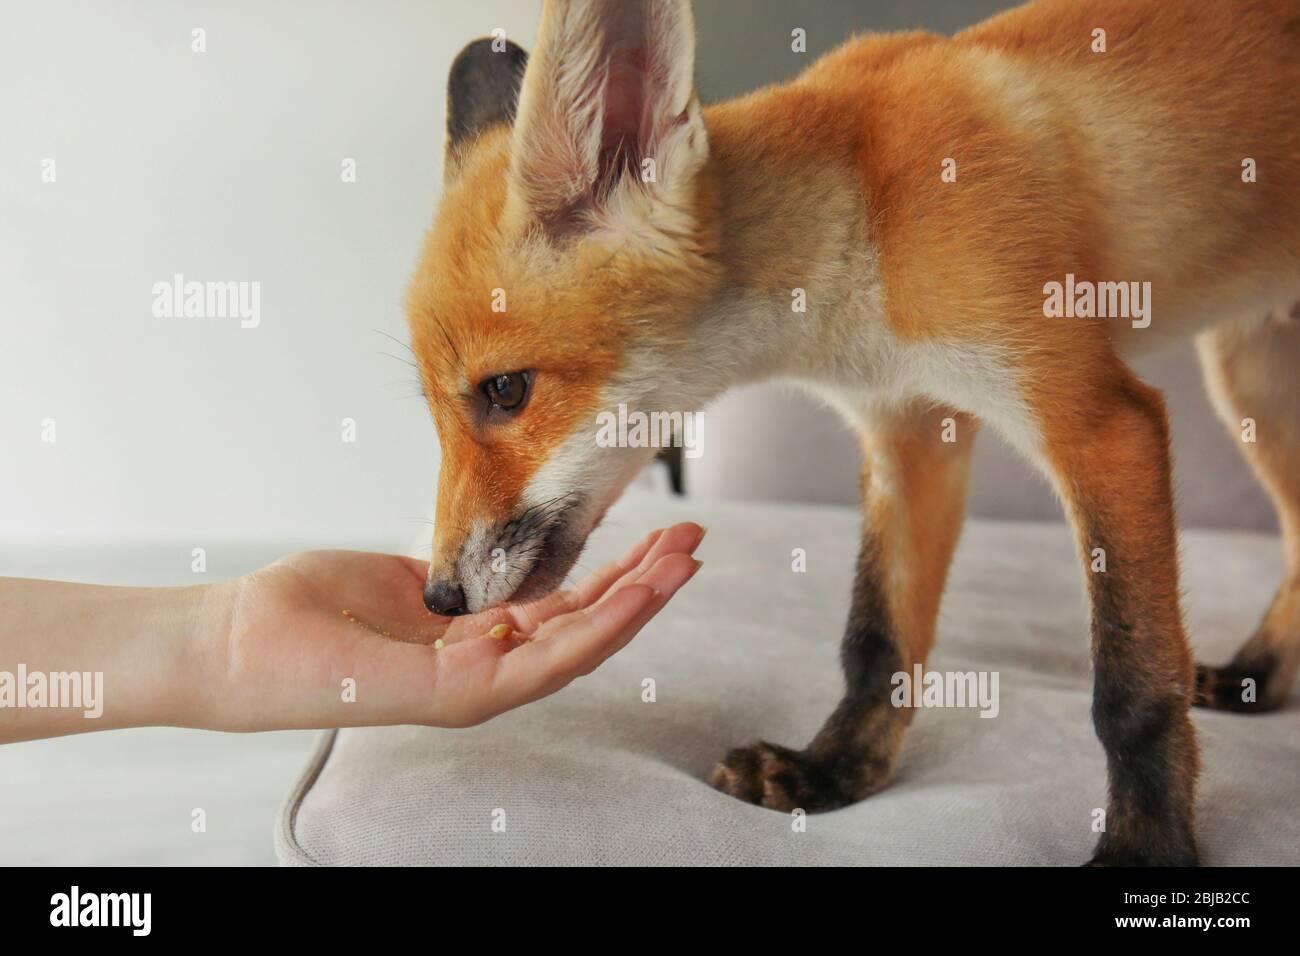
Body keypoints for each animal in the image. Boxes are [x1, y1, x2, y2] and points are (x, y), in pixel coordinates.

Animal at [405, 0, 1300, 866]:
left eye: (506, 391)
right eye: (435, 411)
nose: (439, 598)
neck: (868, 221)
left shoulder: (1098, 419)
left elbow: (1132, 689)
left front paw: (1147, 847)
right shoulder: (910, 430)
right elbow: (878, 642)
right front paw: (832, 772)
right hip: (1253, 386)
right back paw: (1260, 676)